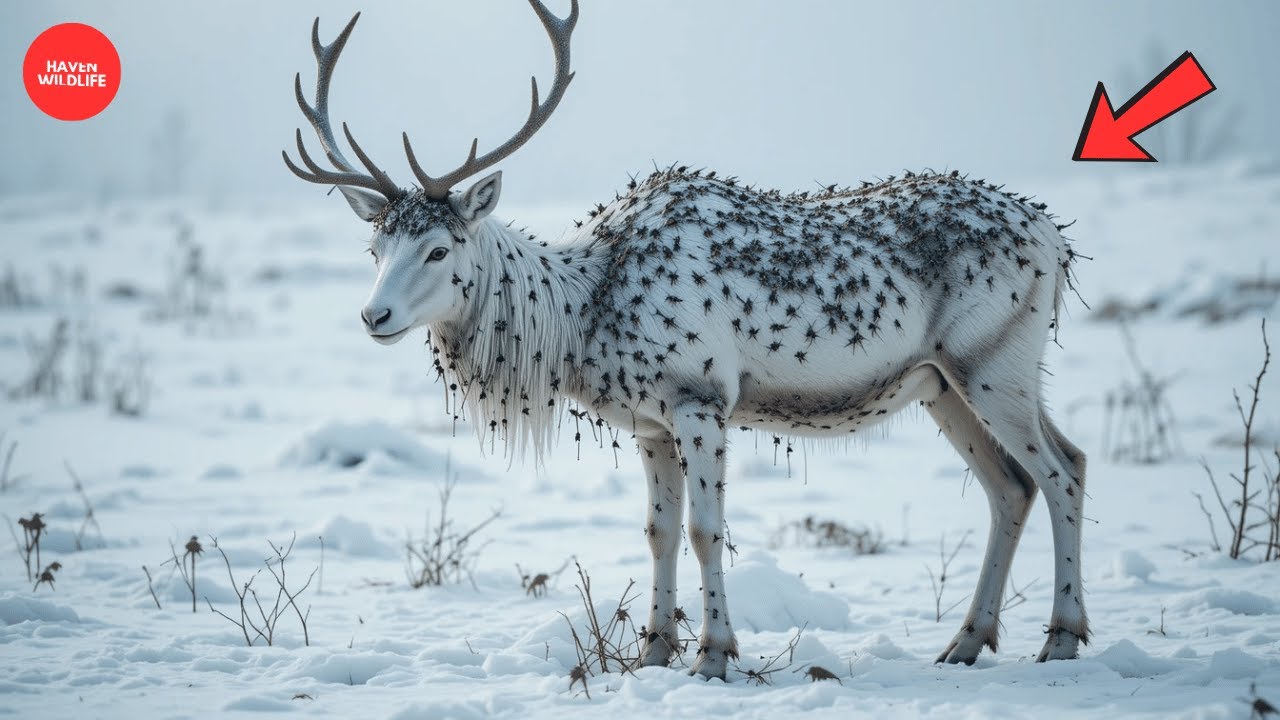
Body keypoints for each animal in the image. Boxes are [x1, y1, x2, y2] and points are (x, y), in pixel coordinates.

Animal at [284, 0, 1089, 681]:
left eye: (439, 249)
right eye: (375, 247)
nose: (374, 316)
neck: (580, 317)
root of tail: (1056, 240)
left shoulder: (700, 399)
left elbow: (707, 530)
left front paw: (715, 654)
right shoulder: (648, 424)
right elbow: (658, 532)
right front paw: (653, 652)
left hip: (994, 362)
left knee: (1063, 469)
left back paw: (1061, 637)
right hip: (942, 383)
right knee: (1011, 485)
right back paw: (966, 642)